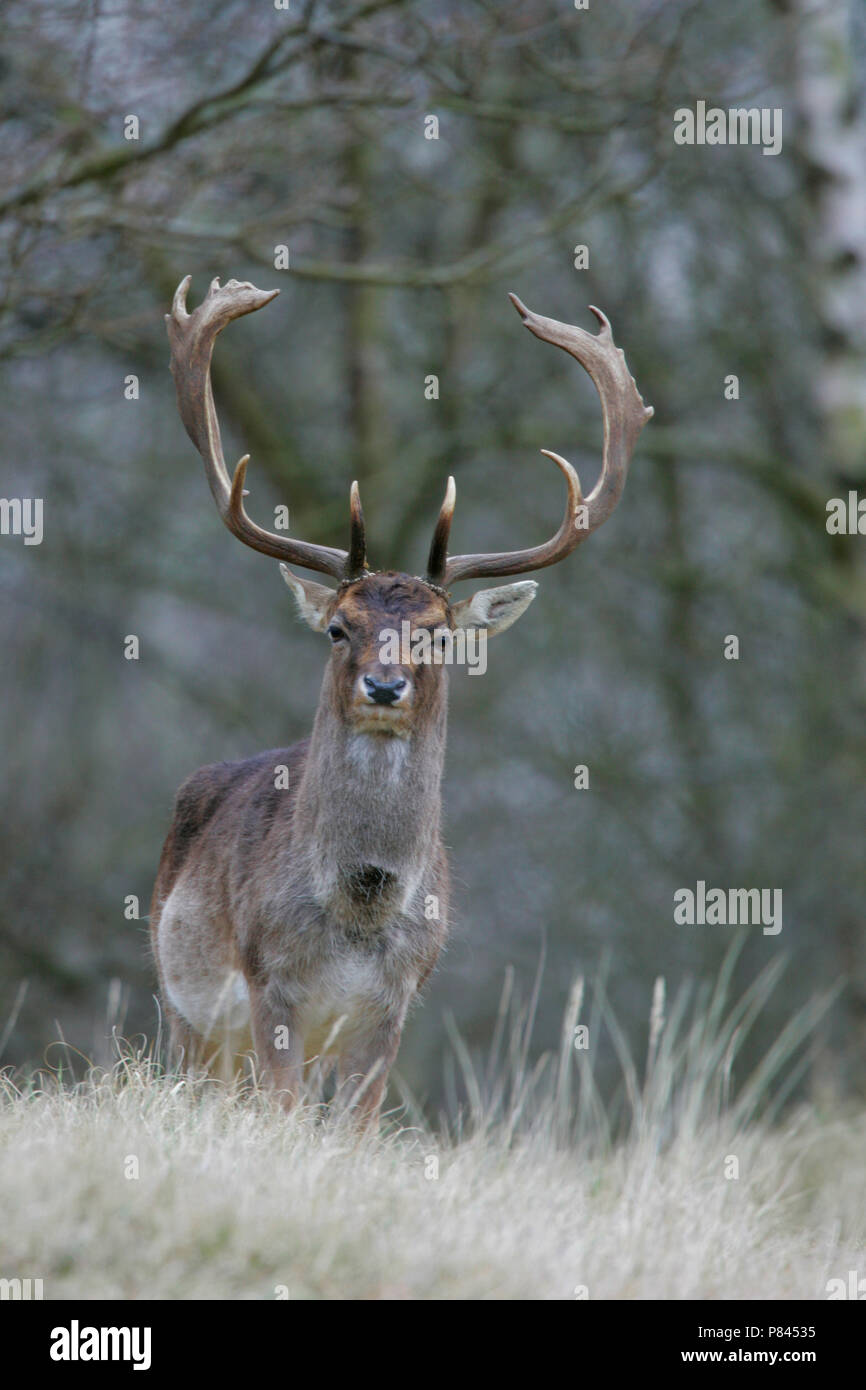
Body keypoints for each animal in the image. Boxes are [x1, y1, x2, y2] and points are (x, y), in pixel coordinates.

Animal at [151, 274, 652, 1126]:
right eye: (338, 628)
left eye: (440, 635)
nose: (383, 684)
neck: (361, 912)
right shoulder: (269, 985)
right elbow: (284, 1115)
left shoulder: (394, 1005)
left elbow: (354, 1128)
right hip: (184, 1006)